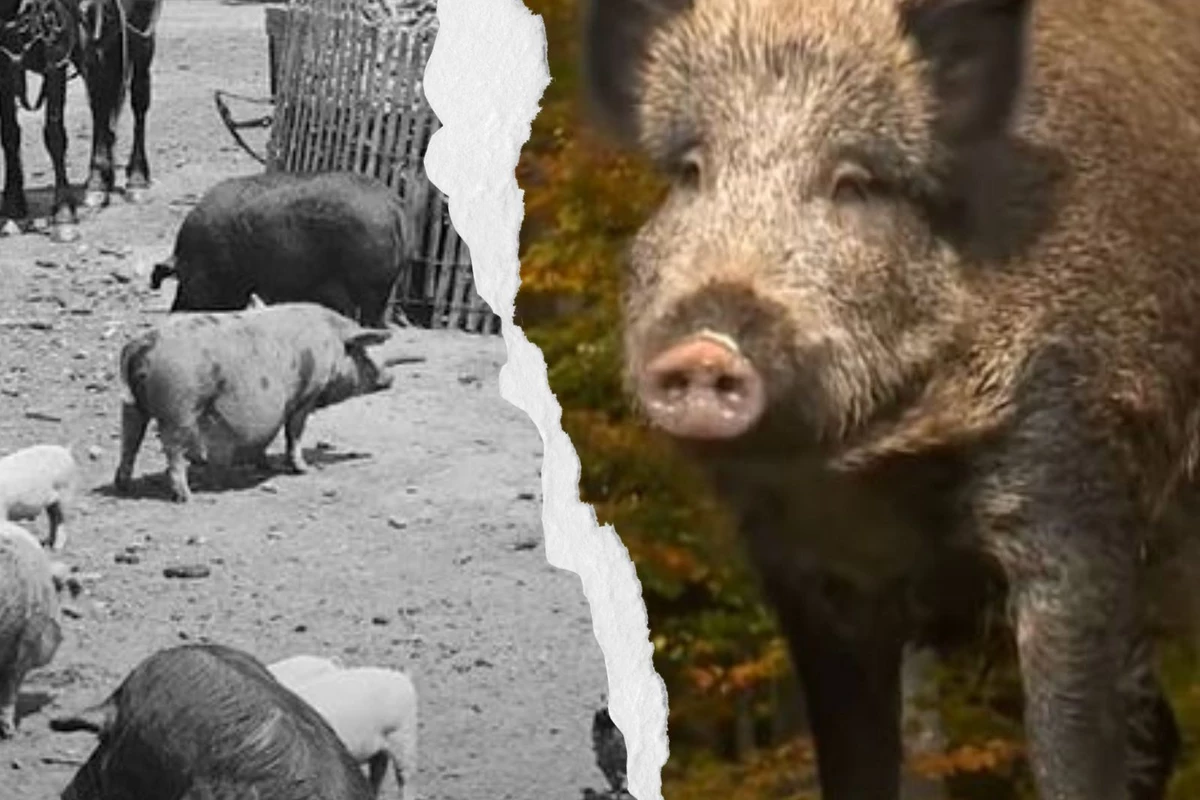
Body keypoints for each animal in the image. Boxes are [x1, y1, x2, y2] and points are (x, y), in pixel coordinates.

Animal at [113, 302, 397, 503]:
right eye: (363, 353)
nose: (390, 378)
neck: (331, 343)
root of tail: (142, 345)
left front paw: (266, 464)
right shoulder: (306, 396)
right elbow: (294, 432)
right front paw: (303, 469)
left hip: (131, 404)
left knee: (130, 442)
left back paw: (122, 486)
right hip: (178, 409)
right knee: (171, 448)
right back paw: (184, 497)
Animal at [583, 0, 1200, 798]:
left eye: (855, 183)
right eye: (692, 174)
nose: (704, 347)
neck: (873, 483)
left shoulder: (1078, 492)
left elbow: (1073, 755)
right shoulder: (813, 574)